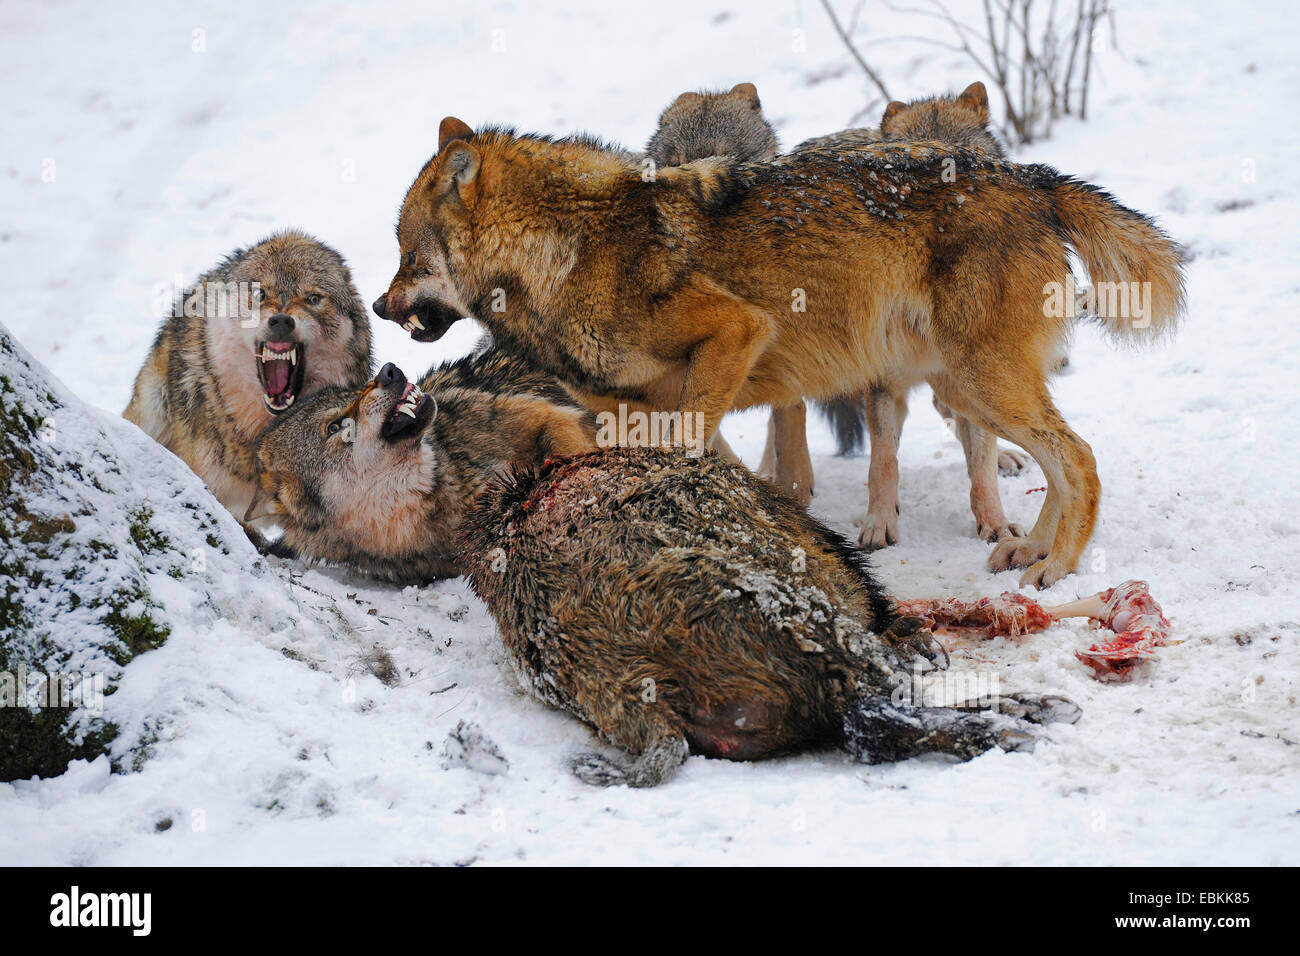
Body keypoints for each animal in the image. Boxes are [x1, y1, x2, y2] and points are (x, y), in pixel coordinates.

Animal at [376, 119, 1183, 588]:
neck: (564, 255)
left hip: (979, 386)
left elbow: (688, 450)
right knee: (1061, 462)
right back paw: (1031, 551)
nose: (382, 307)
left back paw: (1057, 567)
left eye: (407, 254)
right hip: (969, 387)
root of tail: (1033, 179)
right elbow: (728, 467)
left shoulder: (736, 332)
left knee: (1078, 459)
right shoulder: (634, 405)